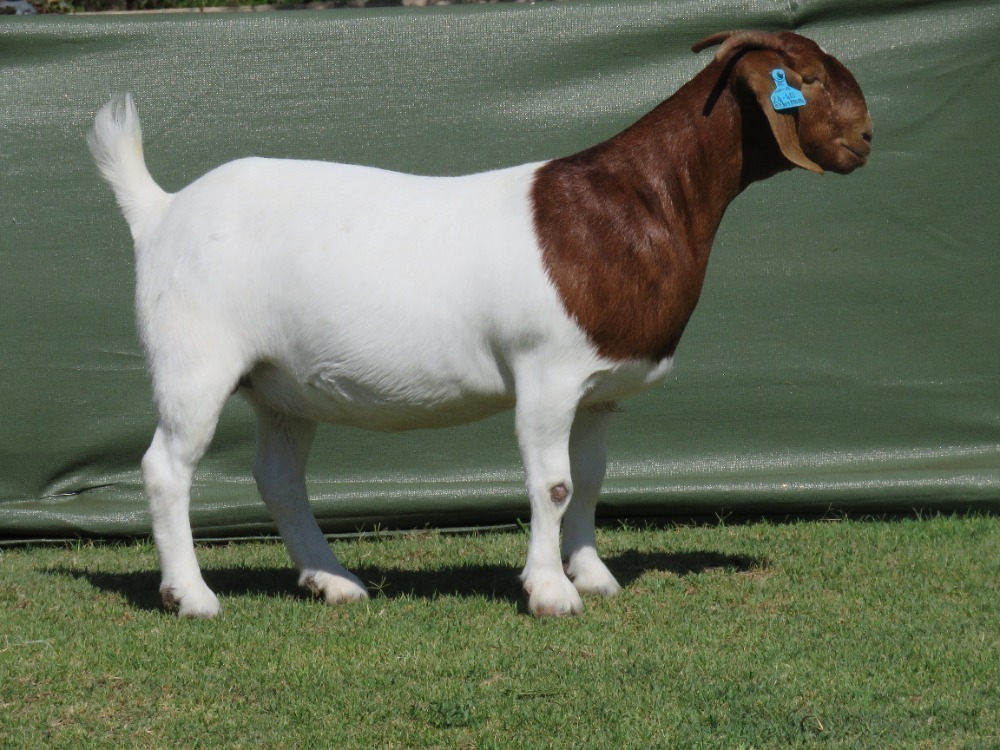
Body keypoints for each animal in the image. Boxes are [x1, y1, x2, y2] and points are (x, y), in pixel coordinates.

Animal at [88, 30, 872, 618]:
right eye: (806, 78)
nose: (866, 139)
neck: (632, 205)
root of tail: (160, 208)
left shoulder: (599, 389)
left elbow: (590, 479)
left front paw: (594, 576)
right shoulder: (547, 371)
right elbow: (552, 483)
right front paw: (550, 593)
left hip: (281, 384)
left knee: (278, 477)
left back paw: (333, 581)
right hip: (195, 357)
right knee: (168, 466)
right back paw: (192, 596)